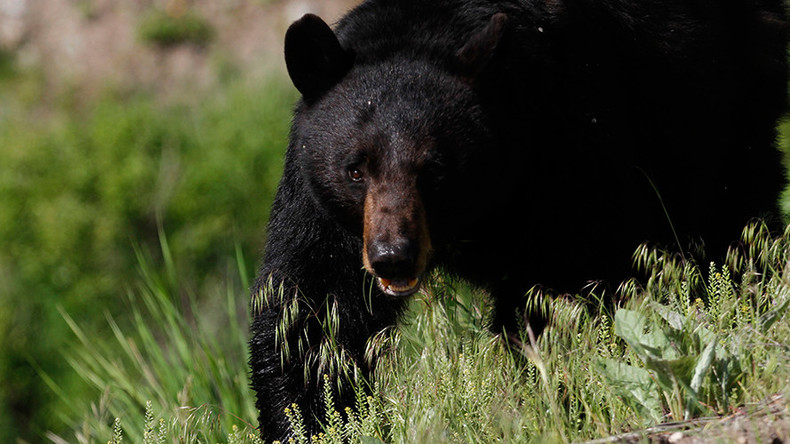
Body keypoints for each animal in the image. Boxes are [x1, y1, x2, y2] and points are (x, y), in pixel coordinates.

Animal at [249, 0, 788, 440]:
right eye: (356, 168)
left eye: (434, 169)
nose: (392, 256)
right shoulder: (322, 210)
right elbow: (312, 313)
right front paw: (311, 421)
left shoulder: (566, 143)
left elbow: (561, 292)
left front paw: (550, 391)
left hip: (713, 104)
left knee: (733, 219)